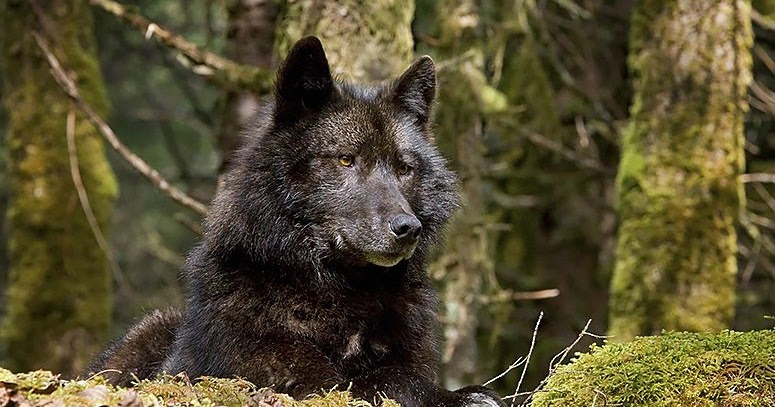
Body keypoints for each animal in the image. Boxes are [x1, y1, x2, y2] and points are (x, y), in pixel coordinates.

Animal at [90, 36, 504, 407]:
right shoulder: (299, 380)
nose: (408, 228)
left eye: (404, 169)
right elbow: (388, 379)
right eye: (345, 160)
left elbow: (403, 371)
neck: (340, 292)